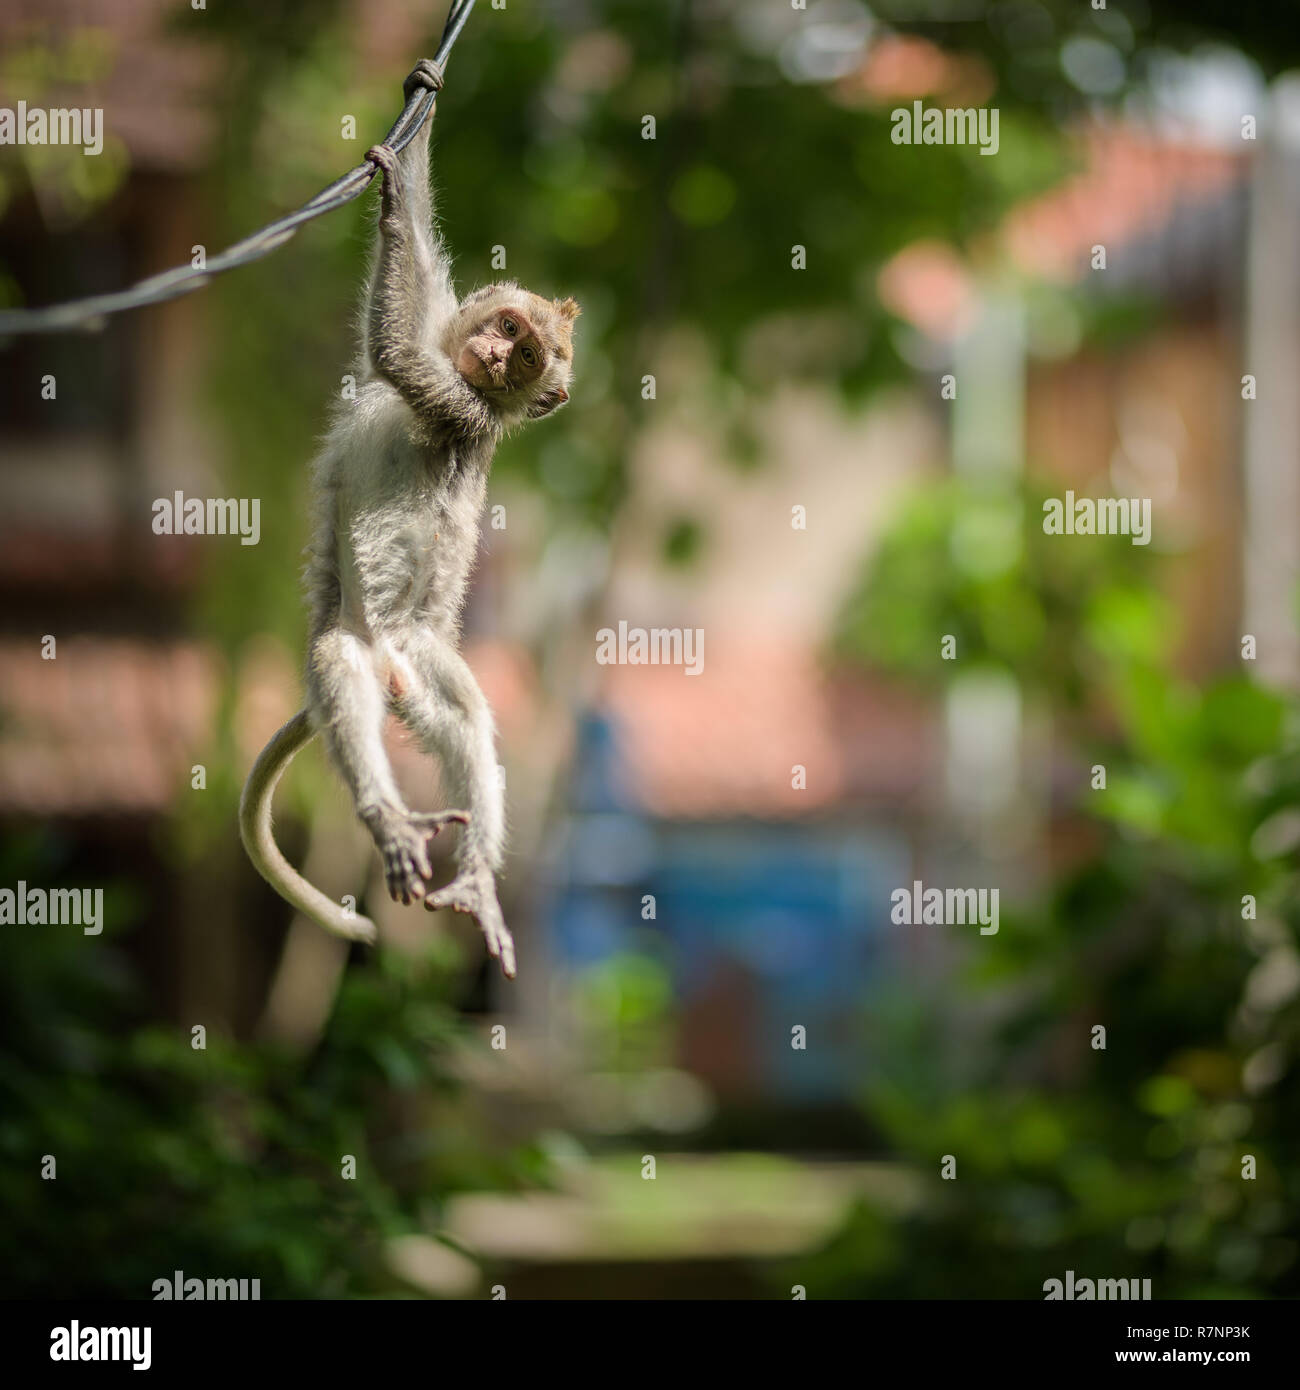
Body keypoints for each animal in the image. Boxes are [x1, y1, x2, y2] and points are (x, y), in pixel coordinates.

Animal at [239, 58, 579, 980]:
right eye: (507, 326)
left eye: (526, 358)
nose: (495, 356)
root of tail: (394, 662)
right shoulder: (447, 363)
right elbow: (415, 303)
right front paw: (423, 106)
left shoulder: (456, 406)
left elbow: (394, 350)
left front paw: (391, 187)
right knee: (436, 713)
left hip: (415, 650)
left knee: (403, 696)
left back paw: (413, 836)